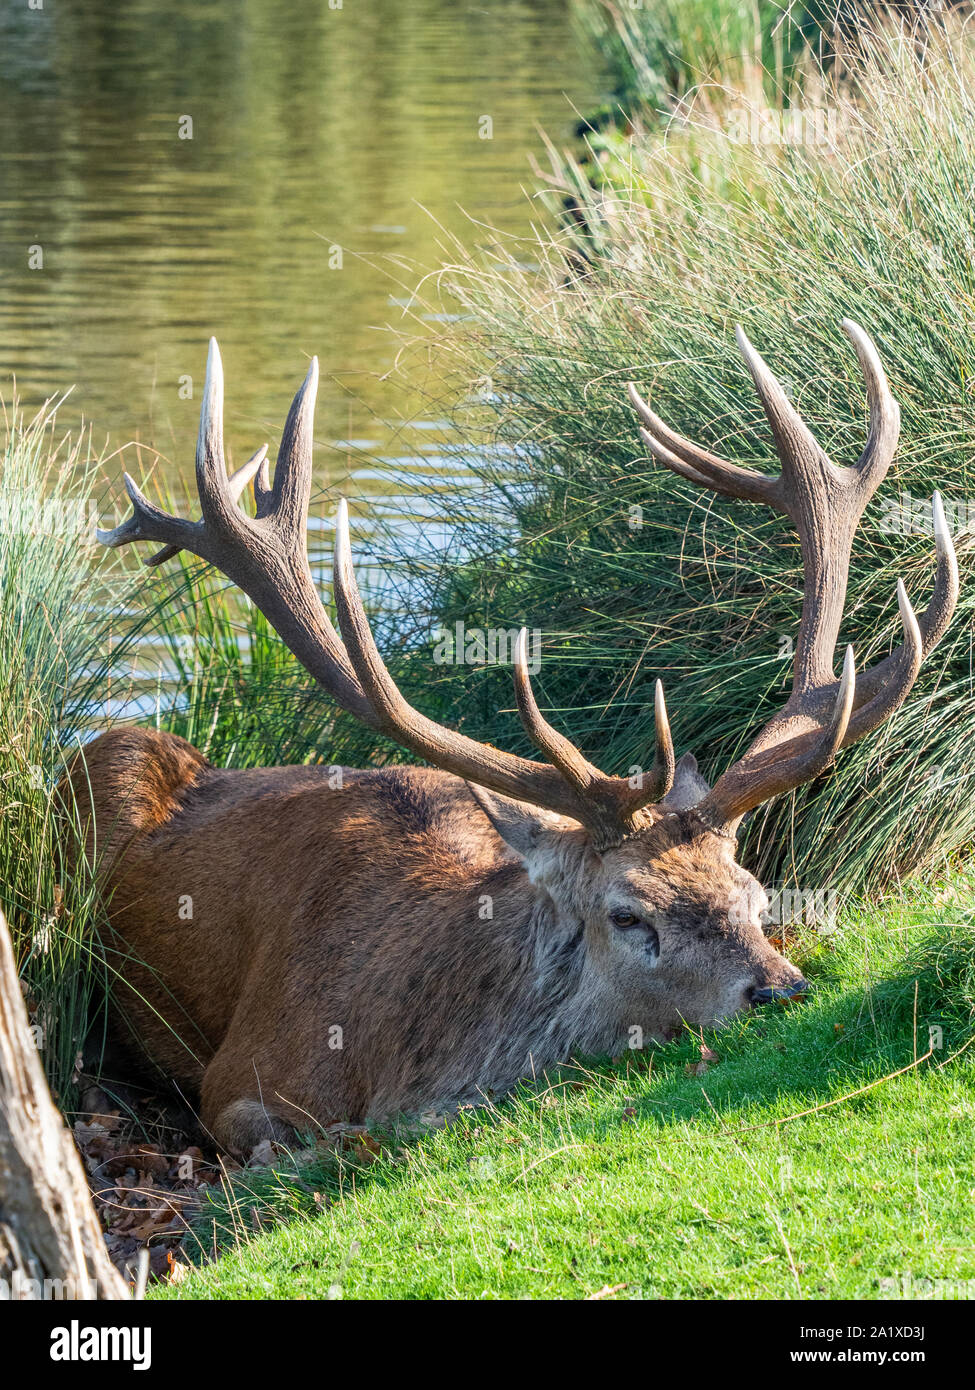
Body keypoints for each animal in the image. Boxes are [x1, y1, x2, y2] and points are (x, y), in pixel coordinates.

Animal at [70, 321, 957, 1156]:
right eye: (627, 915)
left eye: (754, 894)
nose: (781, 991)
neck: (403, 1051)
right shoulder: (246, 1077)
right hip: (105, 760)